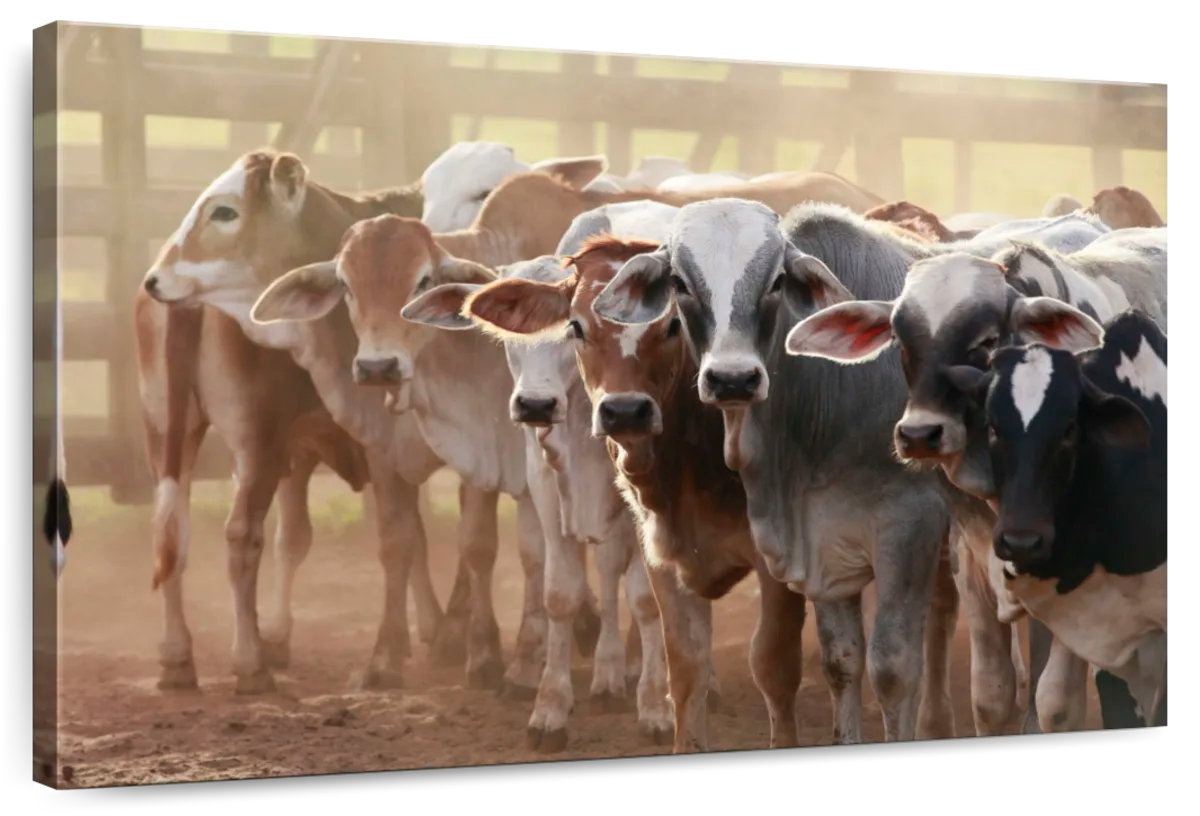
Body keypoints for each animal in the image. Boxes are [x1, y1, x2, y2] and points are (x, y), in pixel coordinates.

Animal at [137, 149, 490, 692]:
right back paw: (249, 662)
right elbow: (416, 533)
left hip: (167, 431)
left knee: (170, 529)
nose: (159, 279)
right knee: (240, 535)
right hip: (254, 441)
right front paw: (440, 633)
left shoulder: (307, 447)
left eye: (224, 211)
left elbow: (306, 536)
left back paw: (178, 657)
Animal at [461, 236, 823, 753]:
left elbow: (769, 664)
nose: (625, 411)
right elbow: (573, 599)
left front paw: (651, 707)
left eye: (673, 323)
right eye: (575, 325)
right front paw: (551, 709)